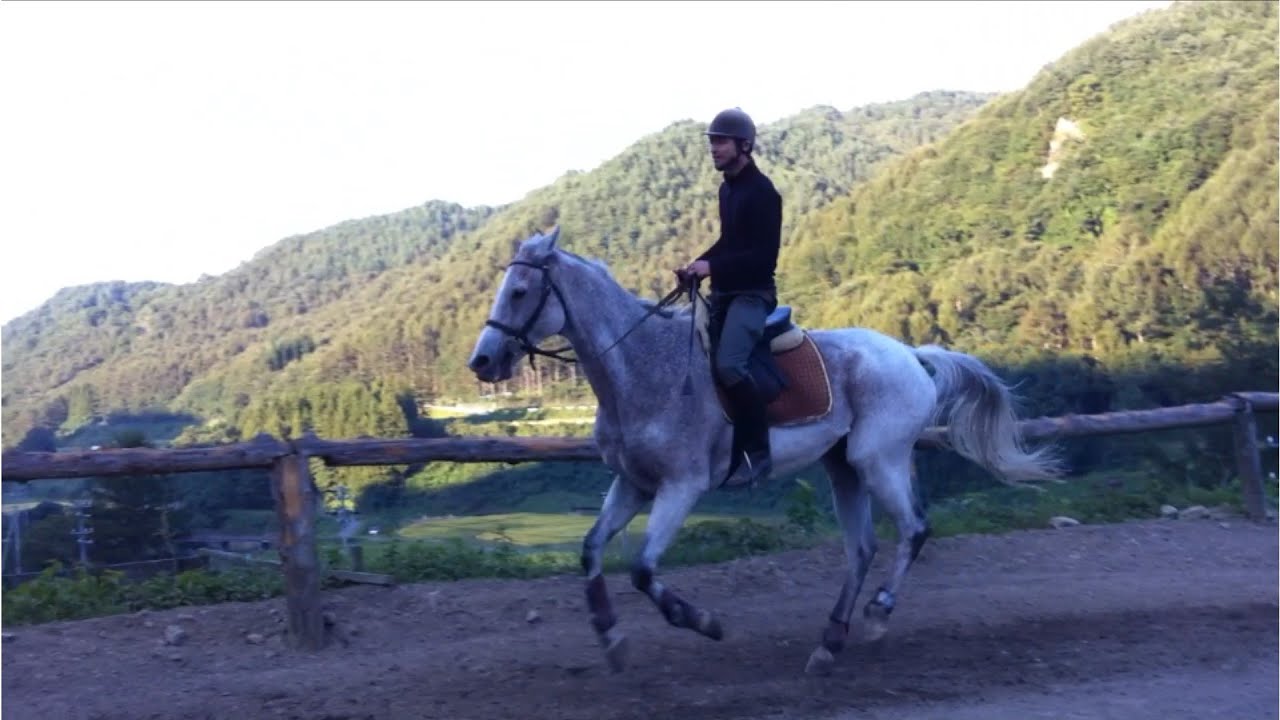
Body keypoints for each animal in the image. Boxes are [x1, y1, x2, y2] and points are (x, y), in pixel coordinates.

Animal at [466, 226, 1062, 675]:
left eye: (520, 291)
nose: (483, 361)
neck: (642, 366)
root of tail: (910, 354)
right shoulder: (633, 483)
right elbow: (591, 551)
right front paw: (611, 641)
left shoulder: (682, 487)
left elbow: (641, 570)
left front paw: (704, 623)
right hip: (843, 467)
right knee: (862, 547)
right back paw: (829, 642)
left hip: (880, 460)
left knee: (914, 529)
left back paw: (876, 614)